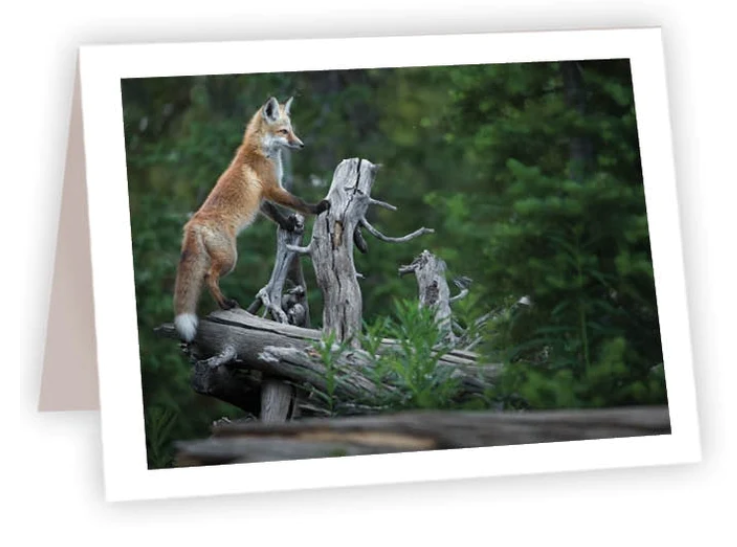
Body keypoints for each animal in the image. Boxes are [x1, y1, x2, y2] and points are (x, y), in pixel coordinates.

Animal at [173, 96, 330, 342]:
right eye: (284, 131)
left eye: (292, 130)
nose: (302, 145)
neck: (262, 151)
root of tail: (193, 223)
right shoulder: (273, 188)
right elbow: (298, 202)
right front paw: (317, 207)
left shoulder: (262, 198)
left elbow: (276, 215)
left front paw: (289, 224)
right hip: (230, 258)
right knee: (209, 277)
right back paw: (226, 304)